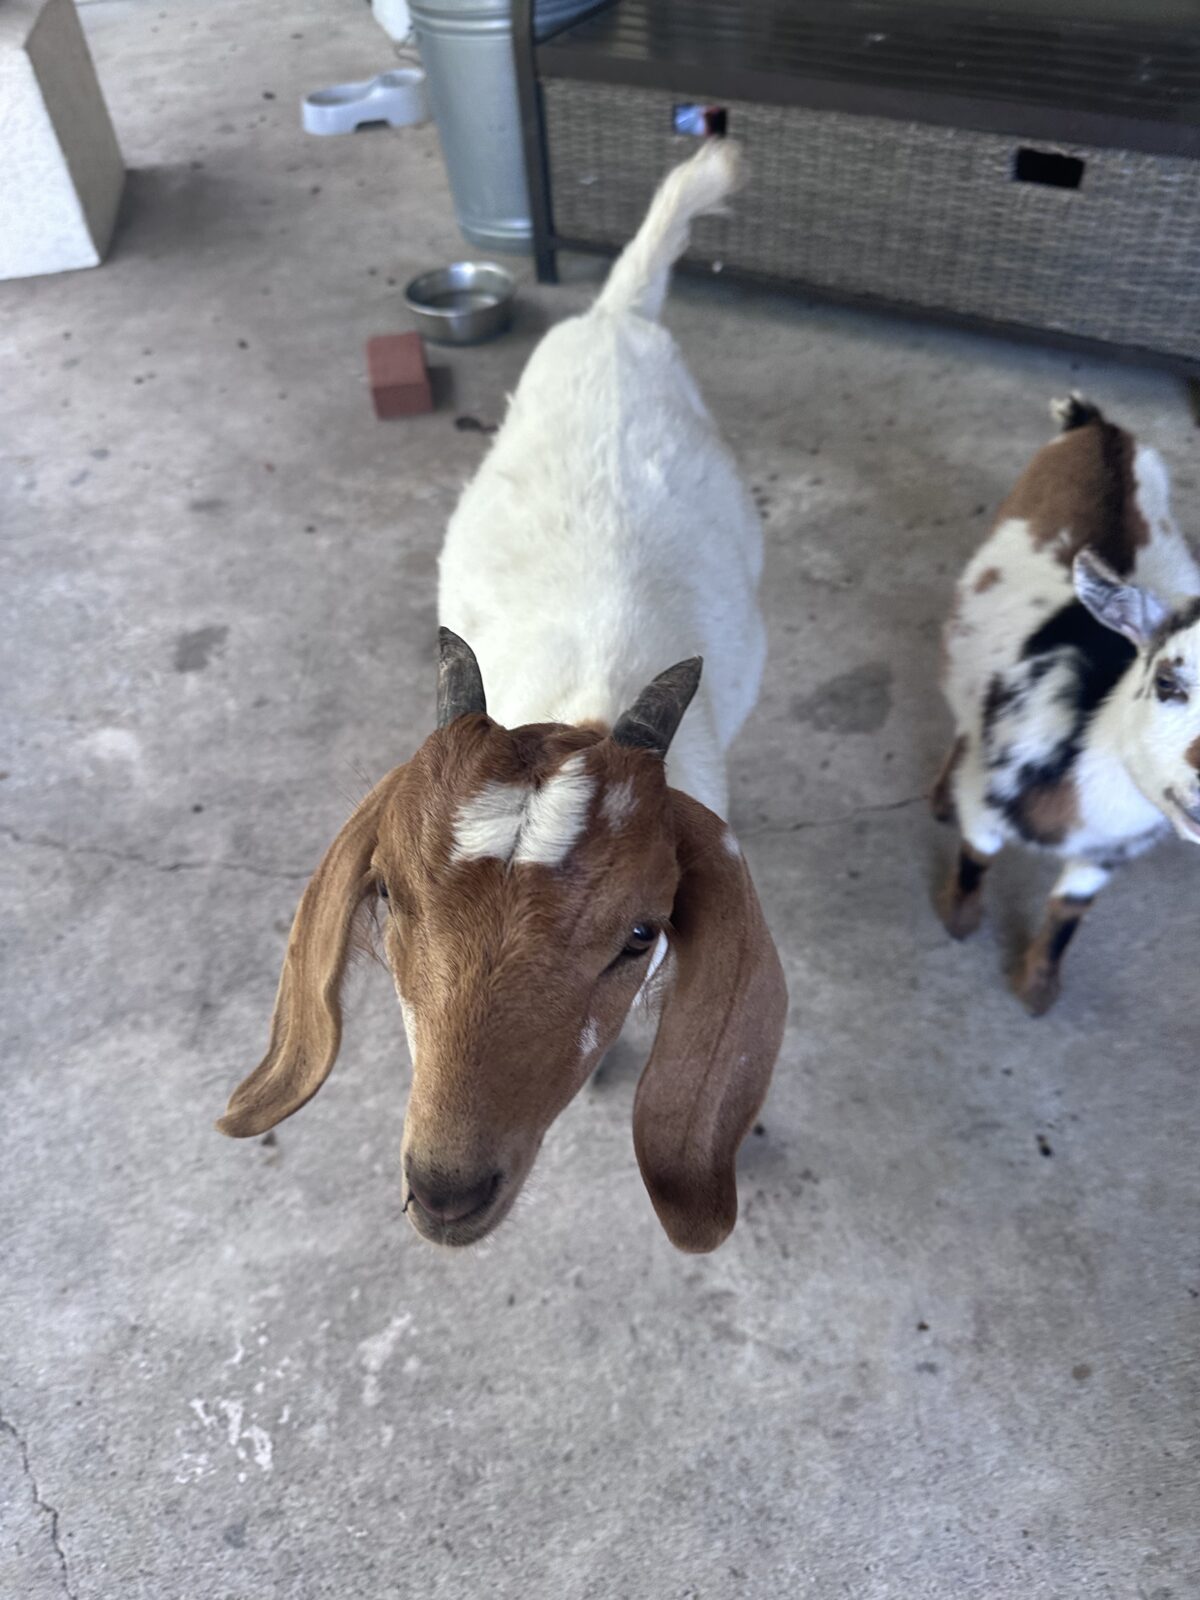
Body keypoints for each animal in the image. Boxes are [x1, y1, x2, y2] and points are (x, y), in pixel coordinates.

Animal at [934, 394, 1200, 1013]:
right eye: (1168, 682)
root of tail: (1096, 426)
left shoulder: (1109, 852)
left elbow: (1070, 910)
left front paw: (1037, 989)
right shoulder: (987, 792)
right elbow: (977, 854)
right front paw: (959, 920)